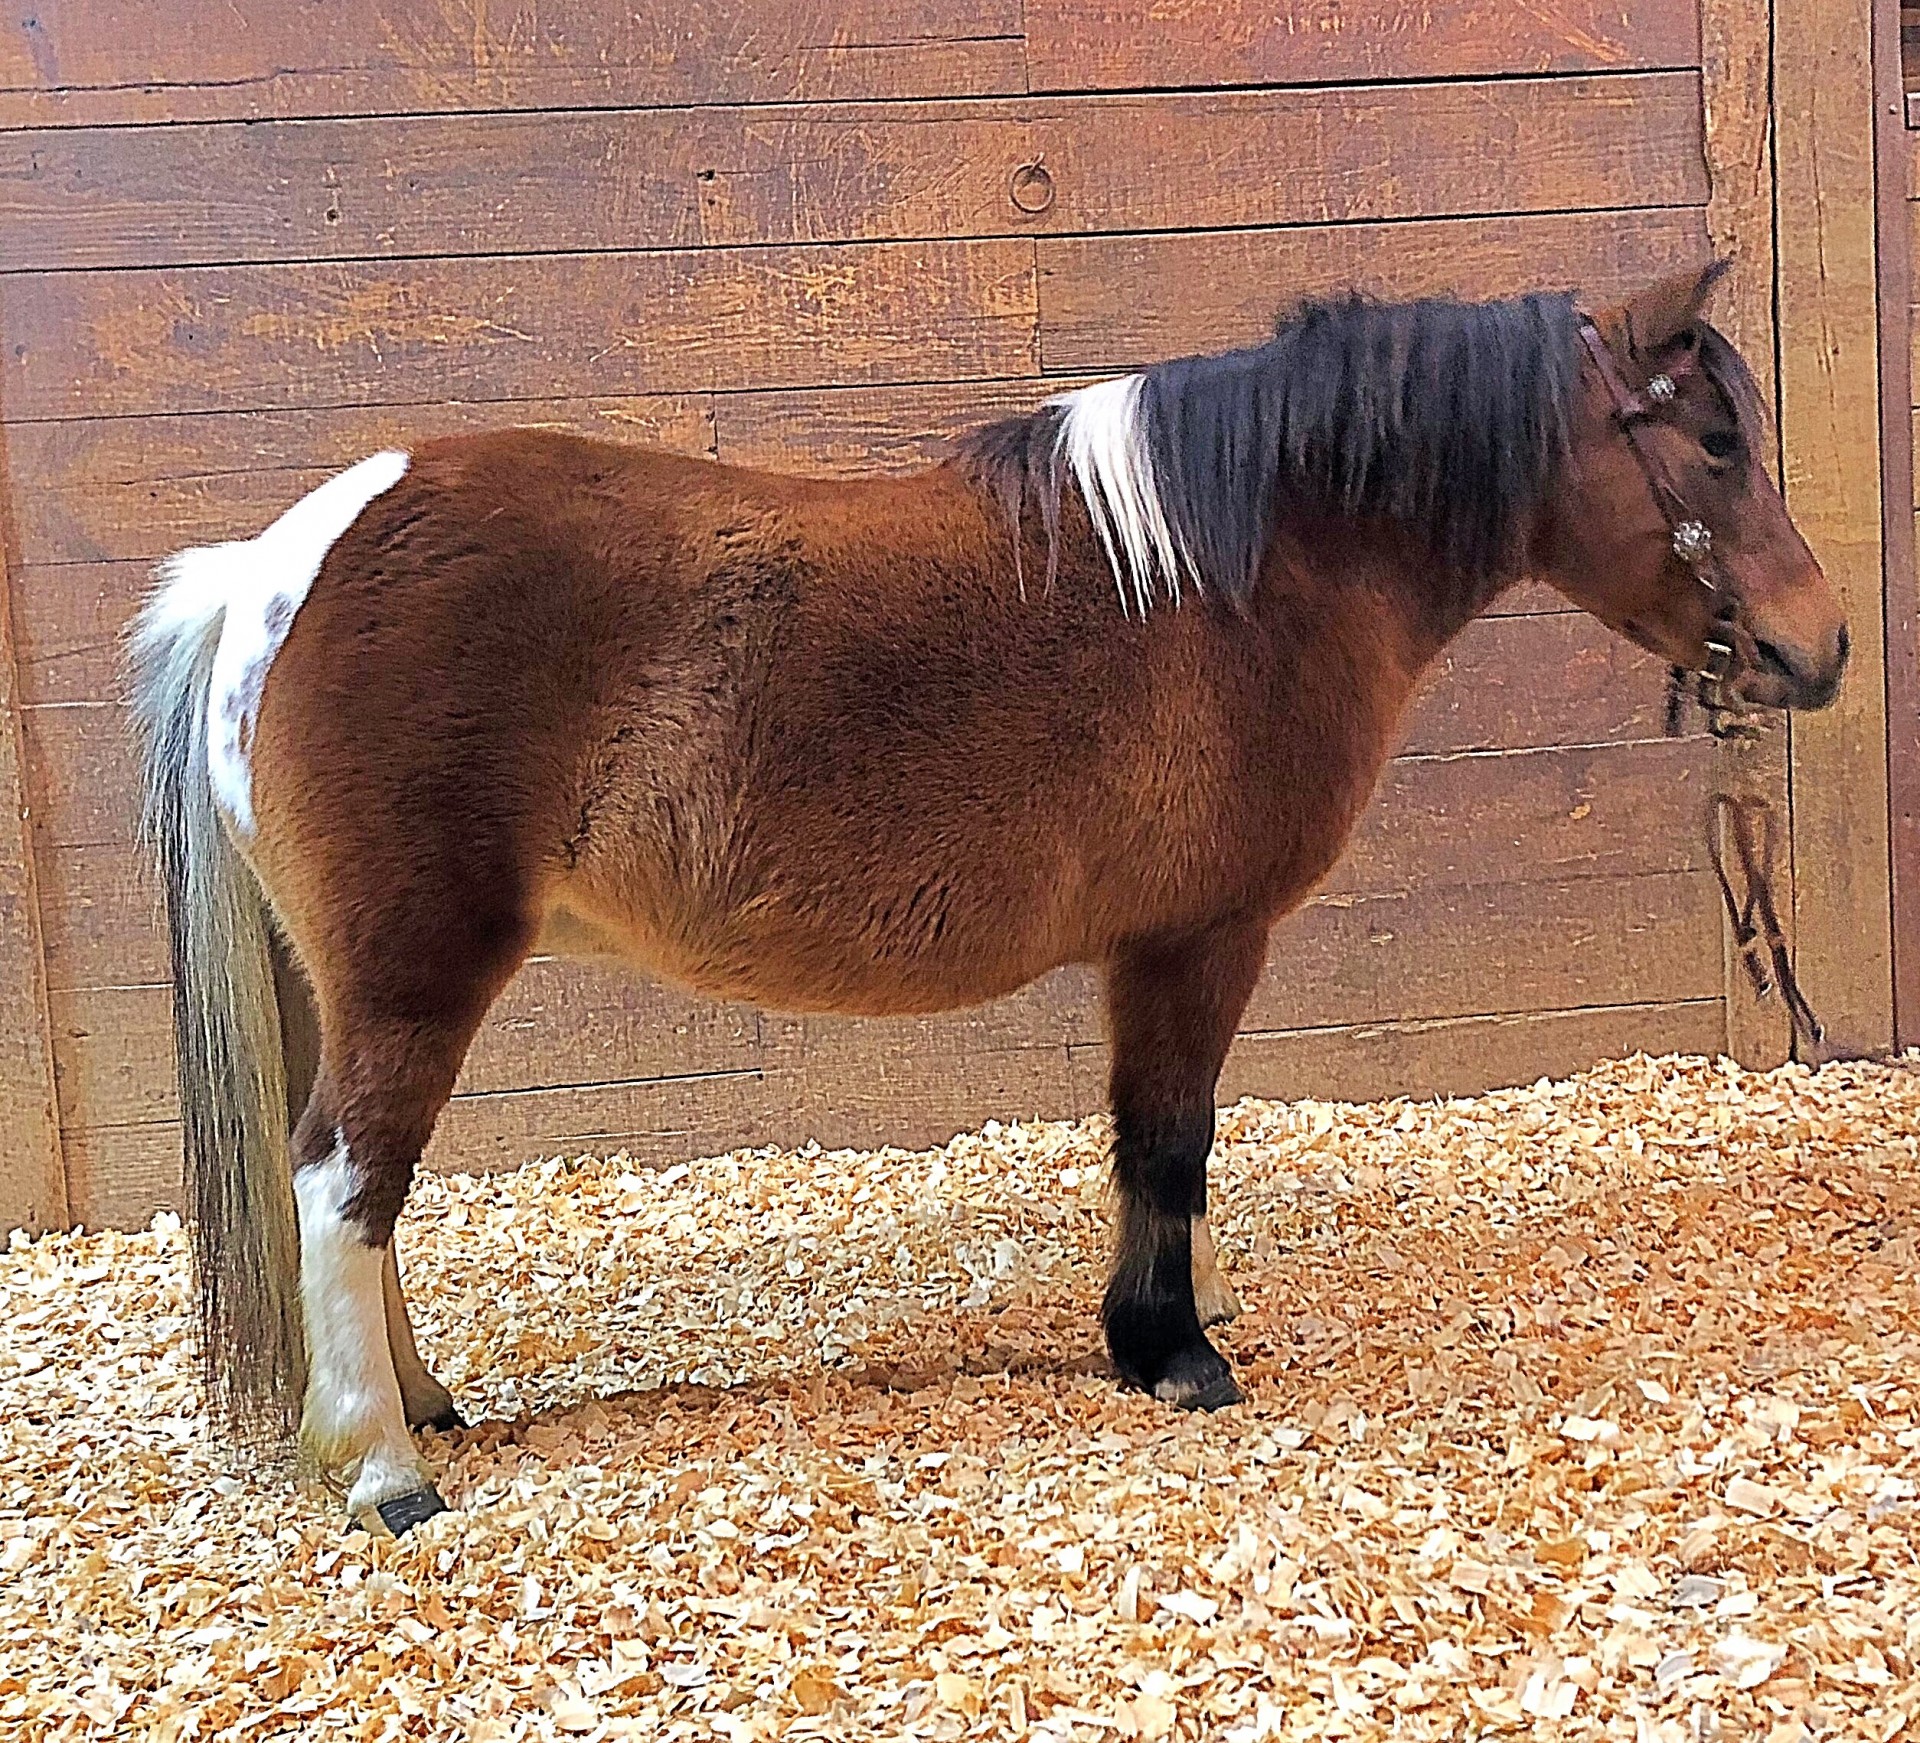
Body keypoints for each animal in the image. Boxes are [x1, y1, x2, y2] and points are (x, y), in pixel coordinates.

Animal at [130, 261, 1847, 1534]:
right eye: (1714, 445)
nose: (1813, 648)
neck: (1241, 572)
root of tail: (276, 565)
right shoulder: (1200, 939)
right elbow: (1170, 1138)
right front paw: (1173, 1348)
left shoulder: (1155, 948)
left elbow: (1152, 1142)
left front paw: (1163, 1324)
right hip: (418, 971)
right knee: (345, 1178)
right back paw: (382, 1461)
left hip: (352, 982)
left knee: (356, 1187)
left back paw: (416, 1405)